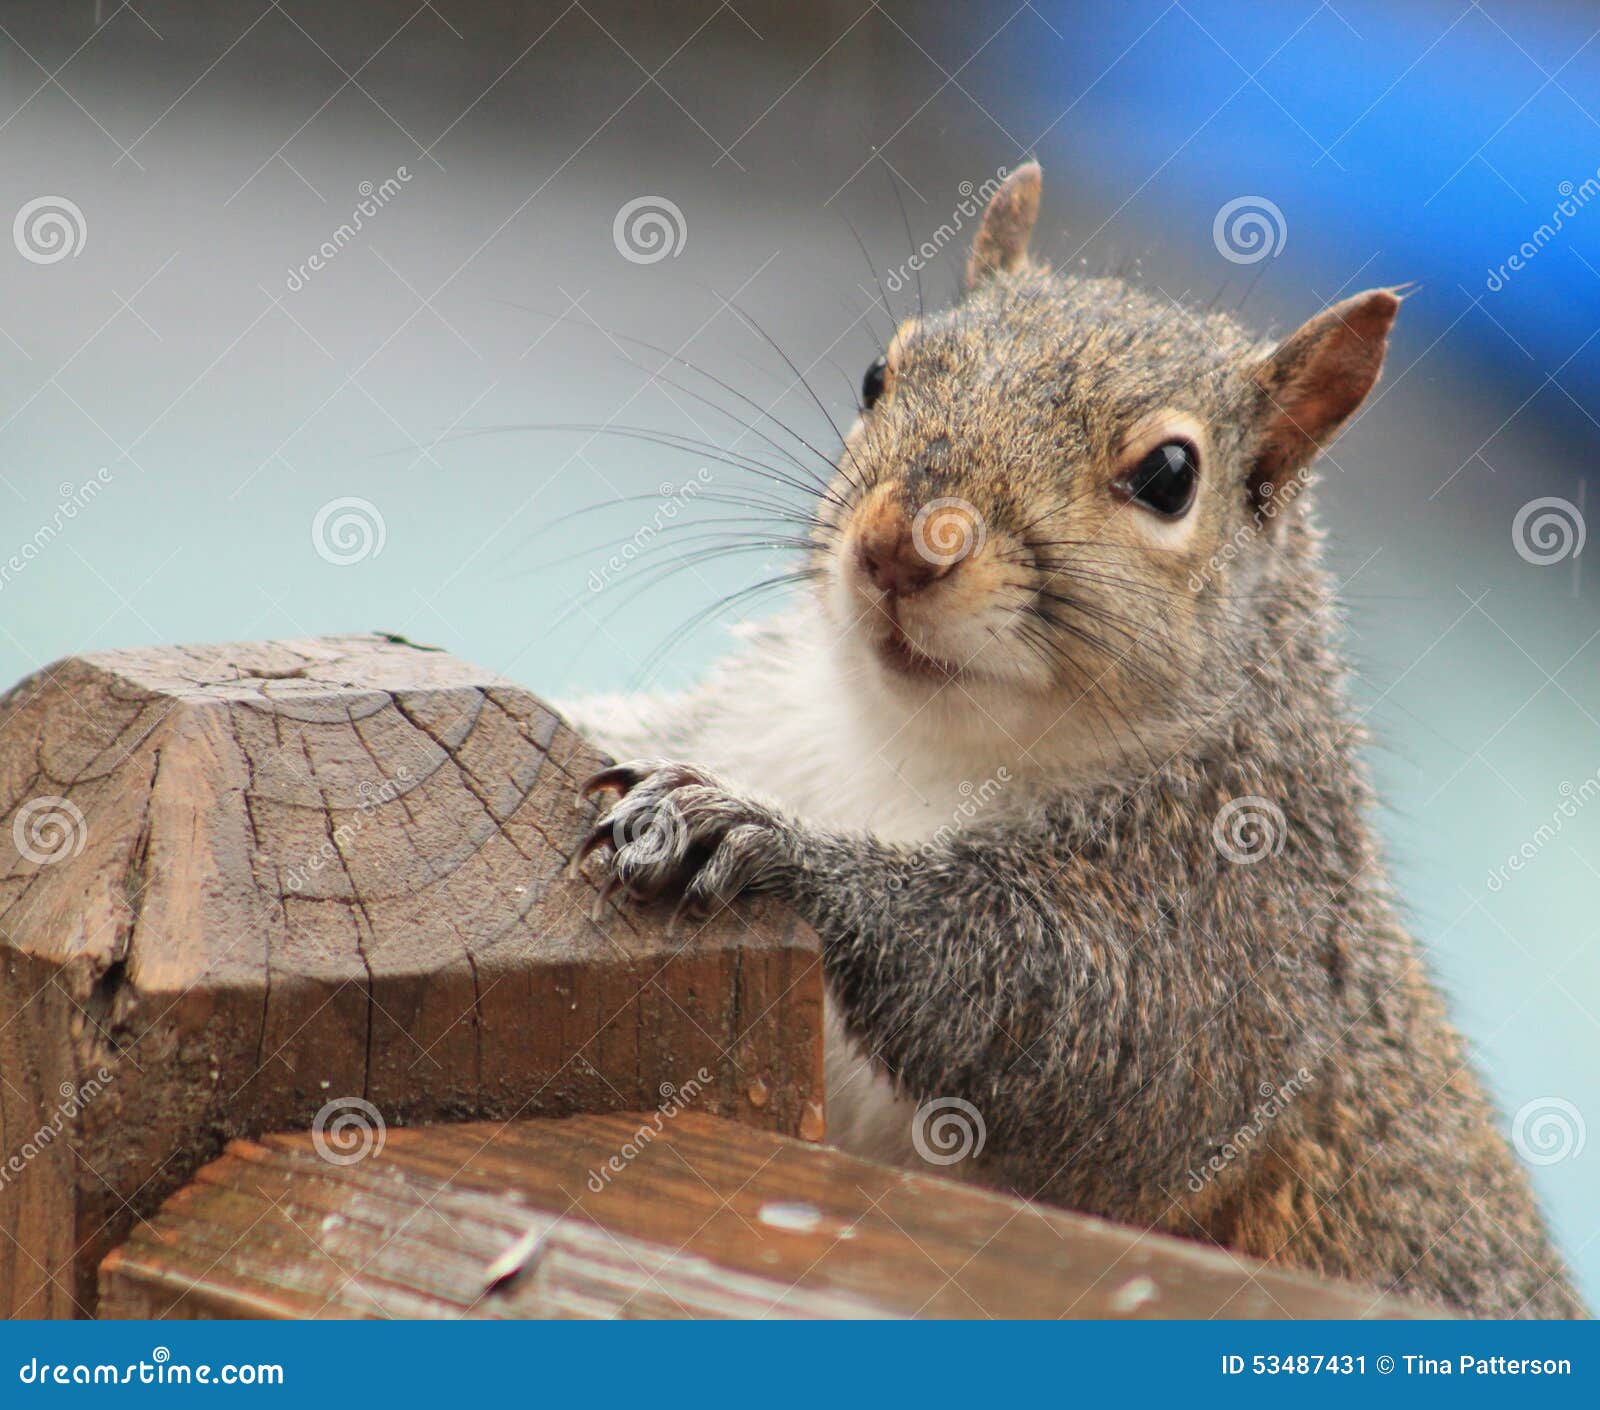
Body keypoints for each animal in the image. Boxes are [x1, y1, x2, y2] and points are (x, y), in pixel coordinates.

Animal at [559, 161, 1586, 1319]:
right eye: (879, 375)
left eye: (1170, 477)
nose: (898, 545)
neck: (914, 744)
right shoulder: (755, 716)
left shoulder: (1235, 912)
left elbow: (1101, 1043)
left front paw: (756, 840)